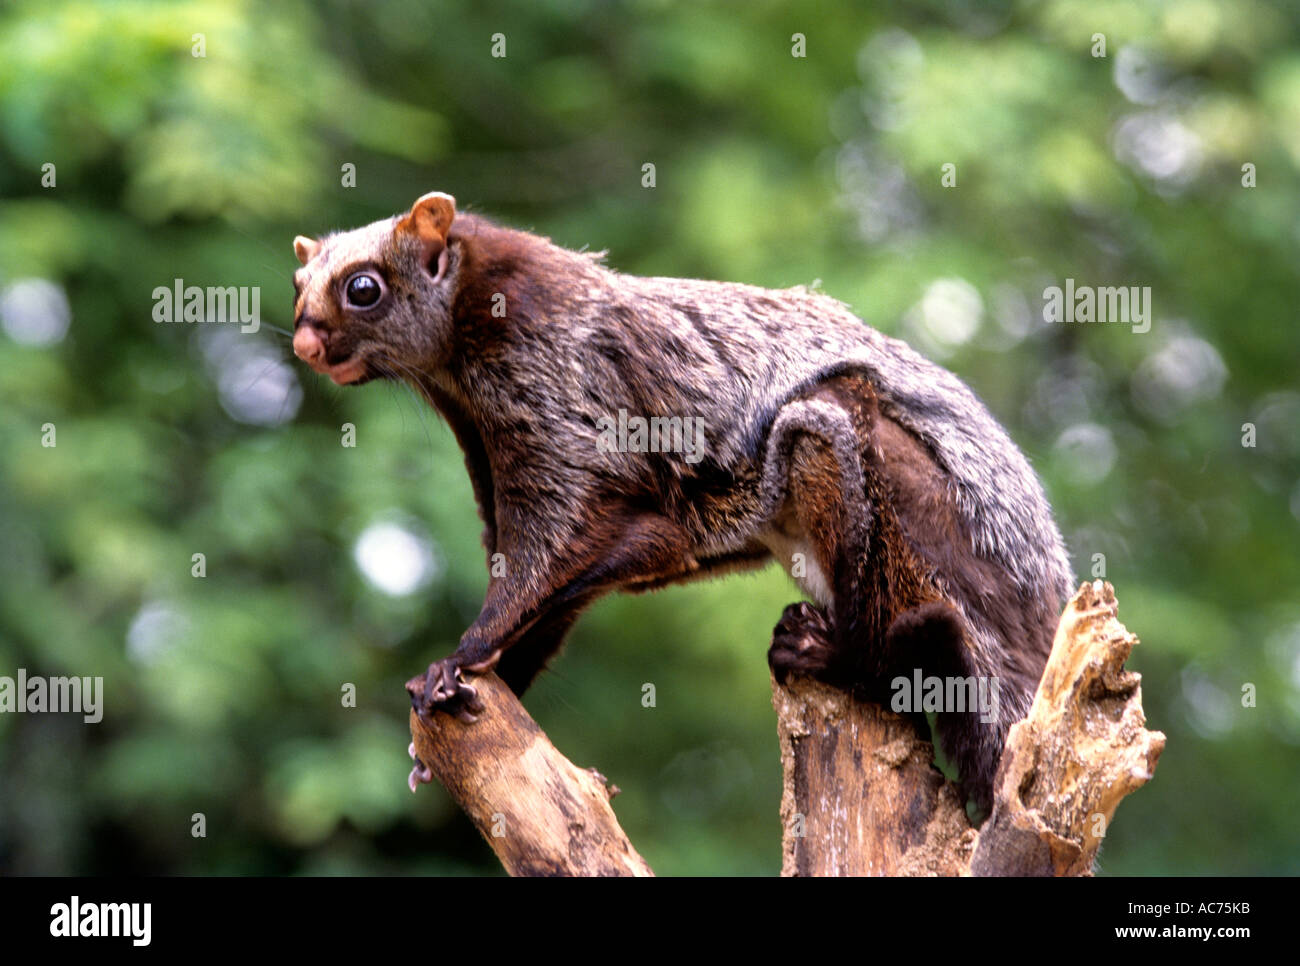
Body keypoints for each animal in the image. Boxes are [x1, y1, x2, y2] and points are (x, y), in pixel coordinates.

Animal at [291, 191, 1073, 812]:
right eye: (299, 284)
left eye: (363, 288)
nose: (304, 340)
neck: (464, 346)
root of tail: (1035, 626)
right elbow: (564, 581)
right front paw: (485, 682)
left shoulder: (560, 402)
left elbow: (548, 556)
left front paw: (462, 657)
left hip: (869, 482)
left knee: (901, 647)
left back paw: (840, 654)